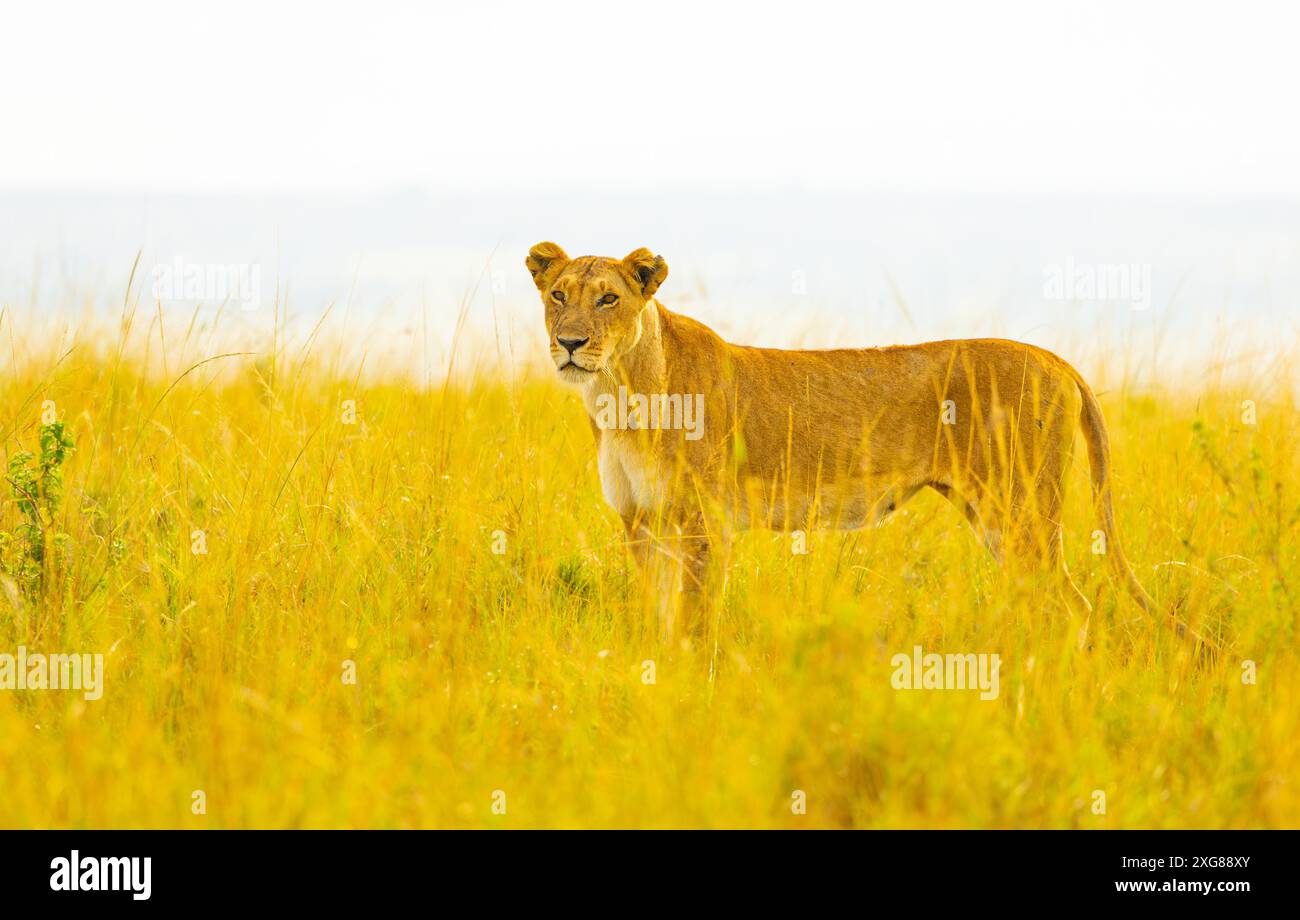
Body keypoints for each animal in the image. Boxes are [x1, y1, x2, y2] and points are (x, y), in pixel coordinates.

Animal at [526, 240, 1204, 650]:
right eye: (558, 295)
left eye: (609, 298)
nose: (571, 343)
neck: (621, 395)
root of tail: (1056, 359)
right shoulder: (640, 523)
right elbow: (657, 617)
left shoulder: (703, 522)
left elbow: (695, 621)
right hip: (995, 516)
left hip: (1022, 512)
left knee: (1074, 608)